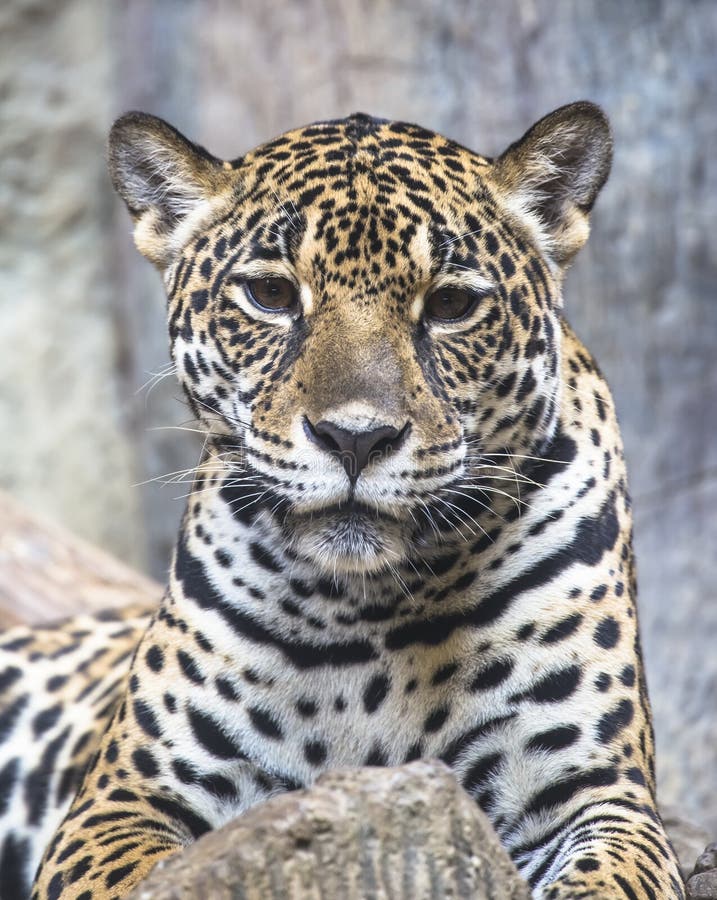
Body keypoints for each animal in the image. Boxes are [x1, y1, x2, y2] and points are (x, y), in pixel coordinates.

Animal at [0, 101, 684, 899]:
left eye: (451, 303)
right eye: (270, 295)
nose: (355, 438)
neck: (370, 609)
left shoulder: (597, 793)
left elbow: (612, 877)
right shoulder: (126, 794)